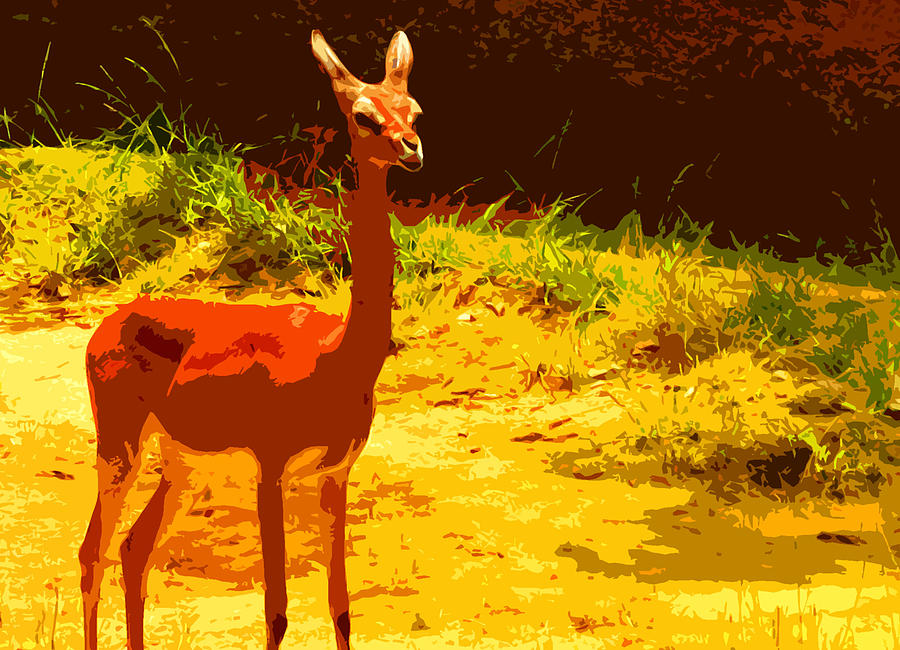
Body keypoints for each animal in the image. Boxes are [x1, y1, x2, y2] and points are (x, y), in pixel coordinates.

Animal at [78, 29, 423, 650]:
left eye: (413, 109)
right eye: (363, 115)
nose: (411, 147)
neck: (338, 361)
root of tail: (109, 321)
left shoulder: (336, 475)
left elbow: (340, 607)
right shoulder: (272, 470)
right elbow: (276, 609)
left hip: (184, 466)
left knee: (133, 549)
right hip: (119, 446)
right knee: (92, 554)